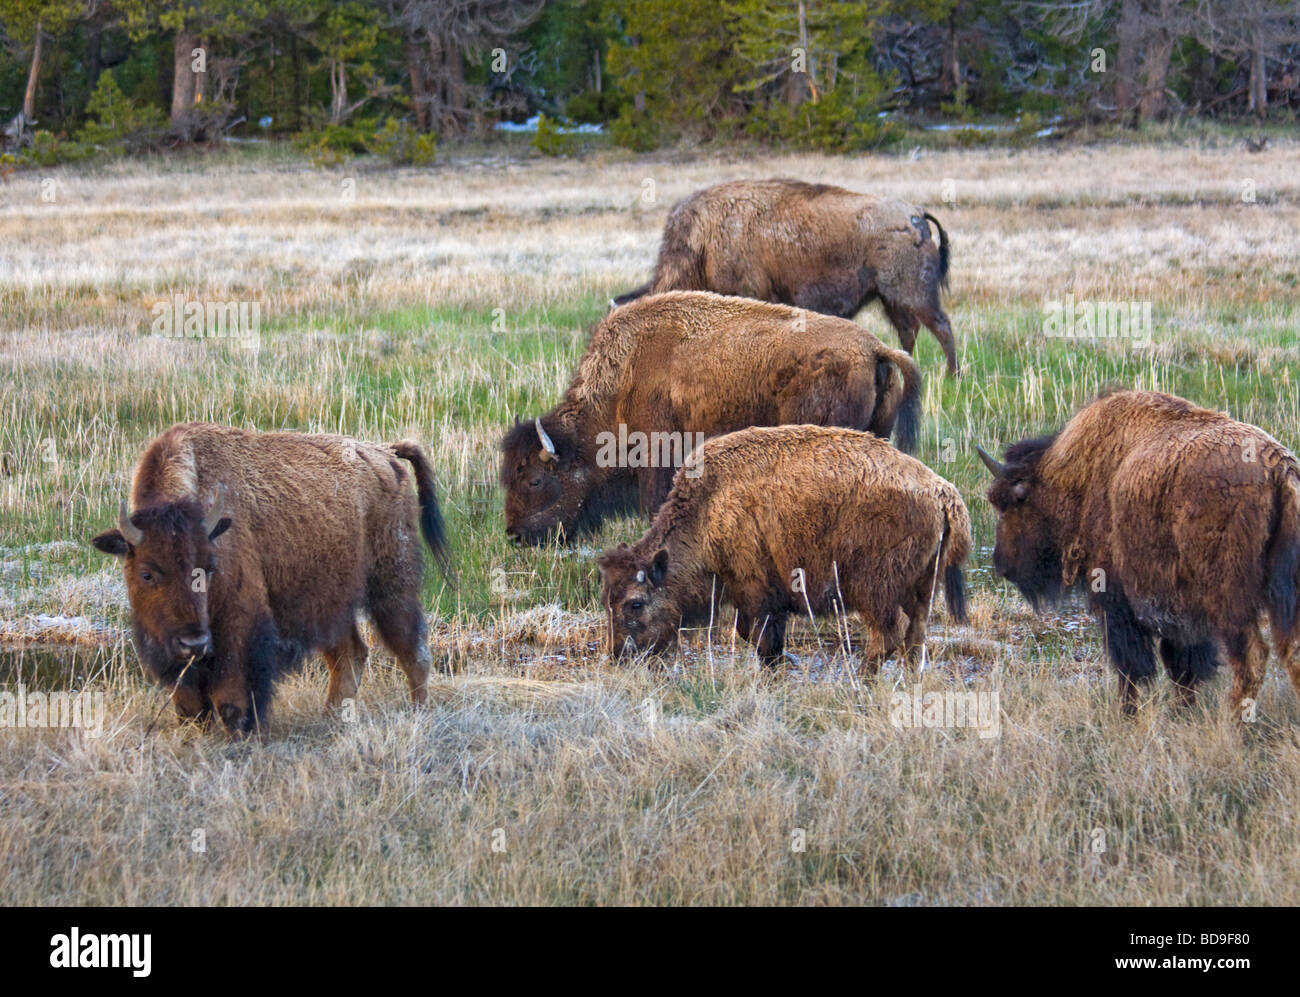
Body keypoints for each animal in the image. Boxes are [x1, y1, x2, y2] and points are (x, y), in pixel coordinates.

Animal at [92, 423, 450, 734]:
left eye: (209, 567)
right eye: (147, 573)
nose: (191, 643)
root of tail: (385, 453)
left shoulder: (240, 624)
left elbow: (232, 694)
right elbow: (190, 702)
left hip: (391, 583)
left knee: (413, 650)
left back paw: (418, 711)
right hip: (332, 602)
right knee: (351, 653)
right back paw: (330, 716)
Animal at [598, 425, 969, 667]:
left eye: (634, 603)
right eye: (607, 601)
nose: (619, 654)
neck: (709, 507)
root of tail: (942, 491)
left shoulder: (755, 593)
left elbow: (760, 638)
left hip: (875, 588)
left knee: (890, 635)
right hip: (922, 588)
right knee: (915, 640)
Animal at [614, 178, 957, 374]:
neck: (702, 241)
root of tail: (915, 214)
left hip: (912, 292)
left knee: (940, 326)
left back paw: (953, 375)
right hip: (891, 298)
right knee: (909, 331)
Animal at [980, 389, 1300, 716]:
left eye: (1009, 505)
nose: (1001, 564)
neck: (1078, 477)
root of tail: (1278, 468)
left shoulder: (1117, 599)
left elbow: (1132, 666)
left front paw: (1128, 712)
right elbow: (1182, 667)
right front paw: (1181, 712)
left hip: (1229, 601)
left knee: (1252, 658)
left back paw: (1231, 720)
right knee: (1291, 653)